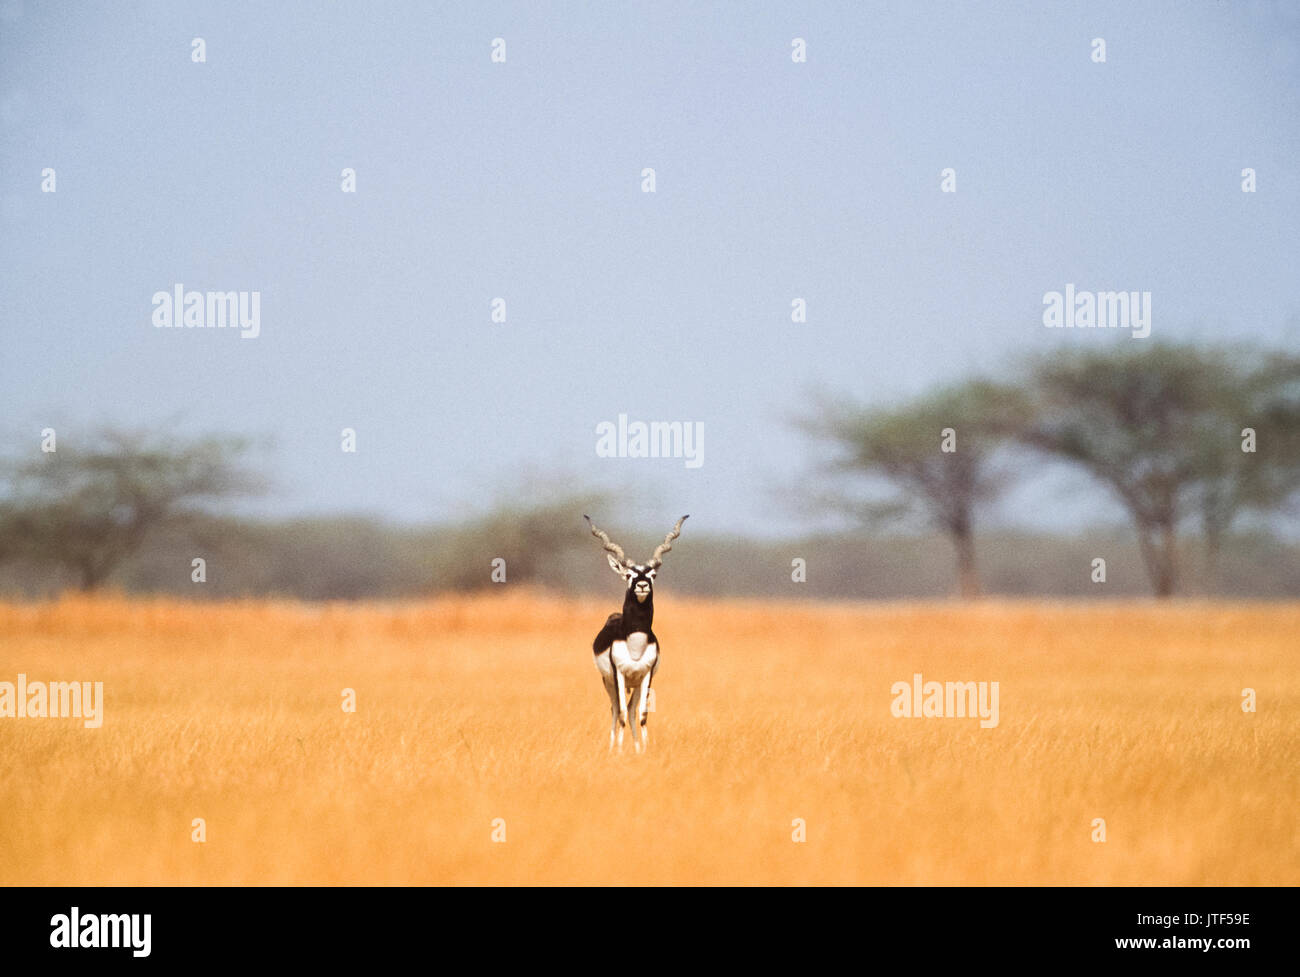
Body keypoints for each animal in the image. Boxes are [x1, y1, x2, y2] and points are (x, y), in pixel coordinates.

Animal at [585, 514, 688, 752]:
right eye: (628, 574)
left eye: (652, 574)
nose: (642, 585)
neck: (635, 647)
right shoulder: (619, 674)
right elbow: (622, 714)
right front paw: (619, 752)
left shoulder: (646, 675)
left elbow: (641, 715)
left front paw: (644, 751)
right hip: (609, 683)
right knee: (615, 710)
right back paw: (613, 748)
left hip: (637, 685)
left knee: (632, 711)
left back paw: (636, 748)